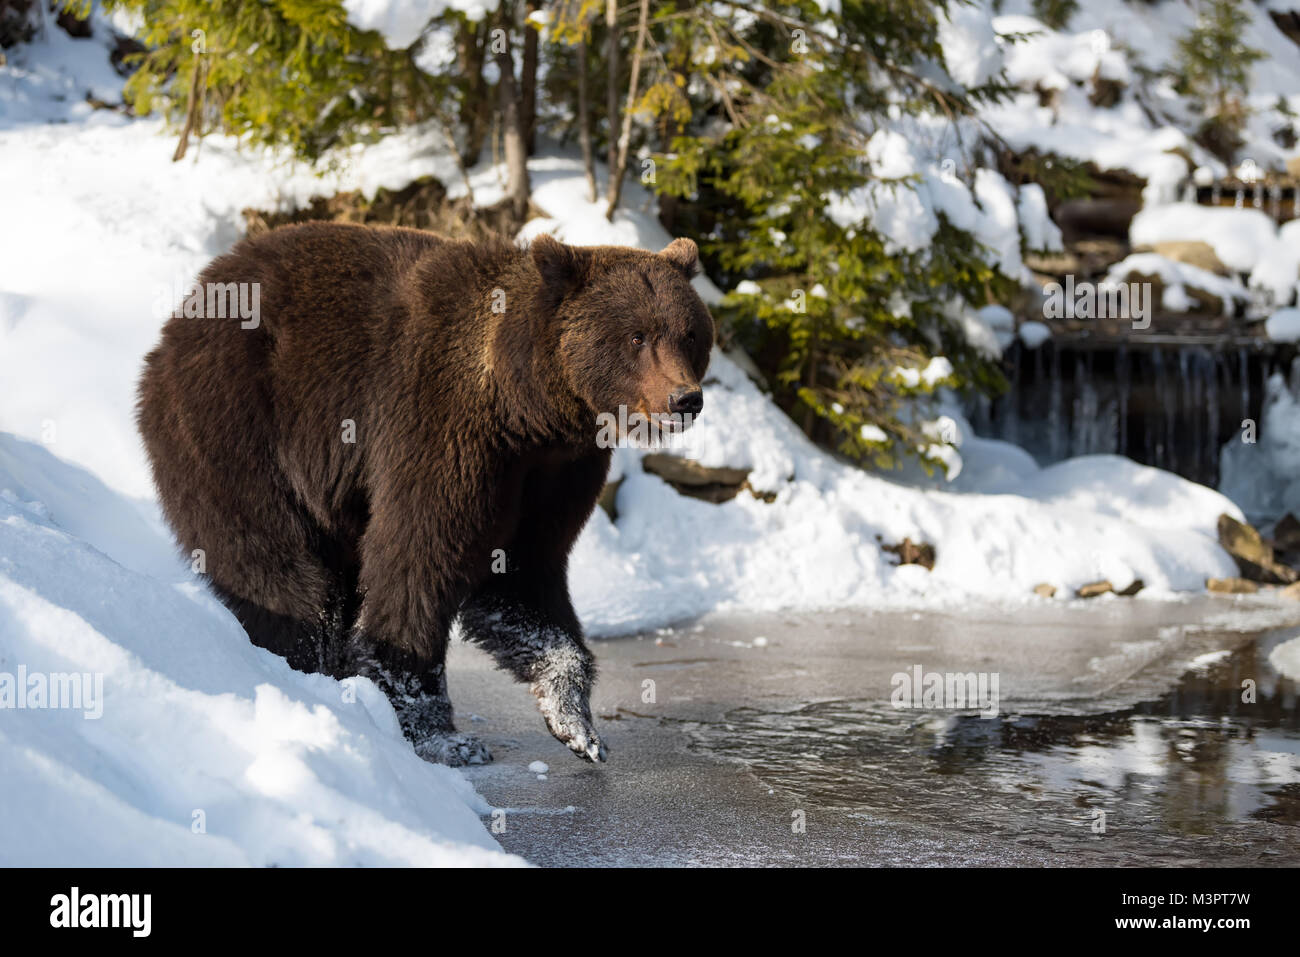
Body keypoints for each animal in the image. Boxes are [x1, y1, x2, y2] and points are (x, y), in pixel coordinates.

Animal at [137, 222, 713, 765]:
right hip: (240, 426)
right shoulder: (443, 429)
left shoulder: (556, 470)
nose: (684, 399)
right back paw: (297, 670)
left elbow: (523, 573)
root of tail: (183, 312)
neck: (527, 410)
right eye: (637, 336)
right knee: (277, 569)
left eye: (689, 334)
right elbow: (421, 560)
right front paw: (439, 734)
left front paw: (576, 723)